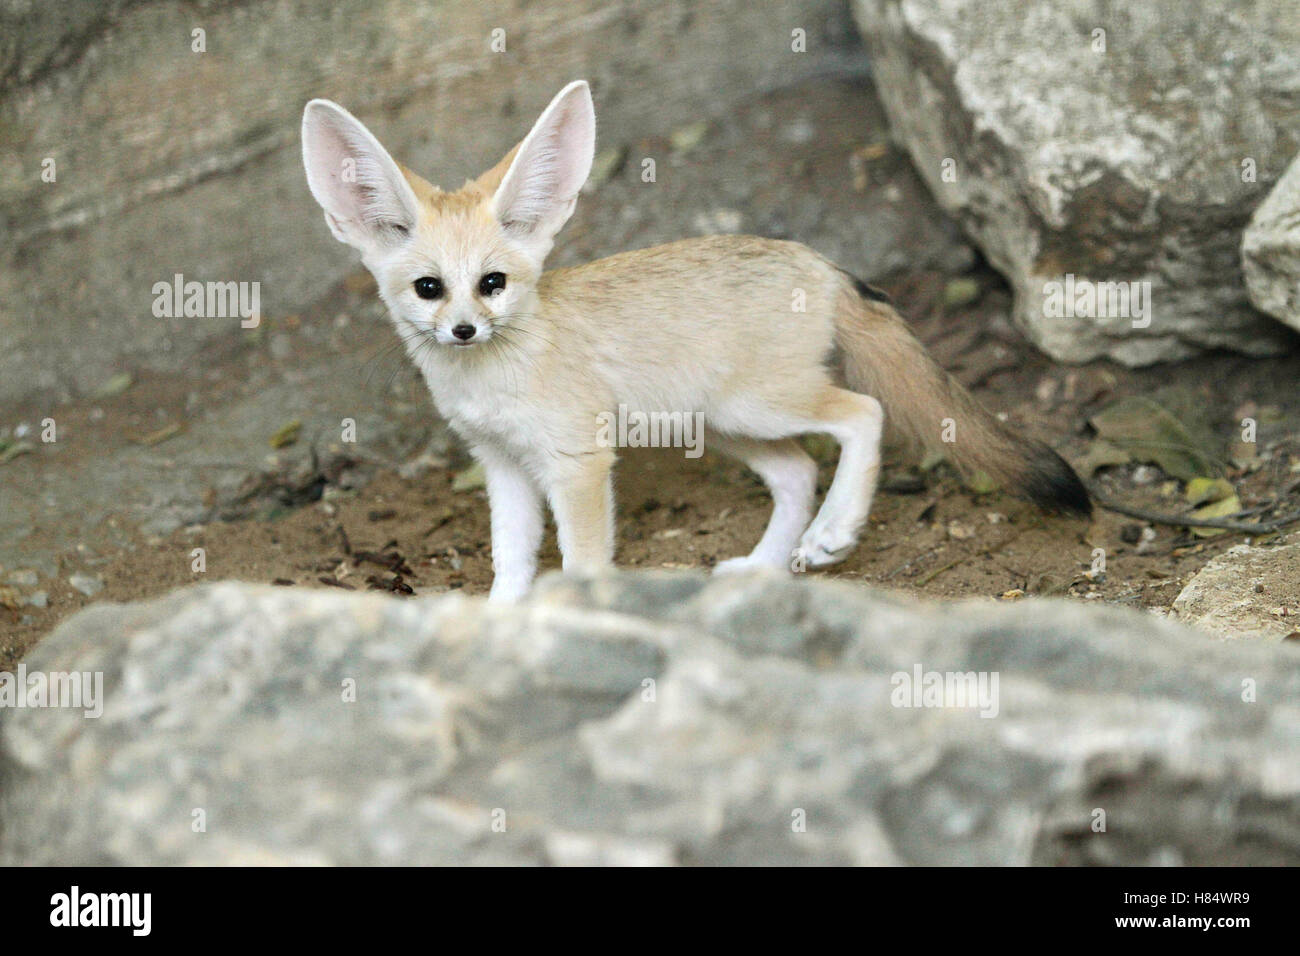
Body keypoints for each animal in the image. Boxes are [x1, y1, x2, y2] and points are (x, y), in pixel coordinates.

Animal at [301, 80, 1090, 602]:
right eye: (429, 288)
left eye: (492, 283)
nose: (464, 330)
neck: (496, 372)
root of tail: (818, 260)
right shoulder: (502, 466)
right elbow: (510, 564)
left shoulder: (576, 463)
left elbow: (582, 563)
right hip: (723, 424)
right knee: (798, 471)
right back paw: (768, 569)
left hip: (760, 407)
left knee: (863, 415)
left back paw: (834, 532)